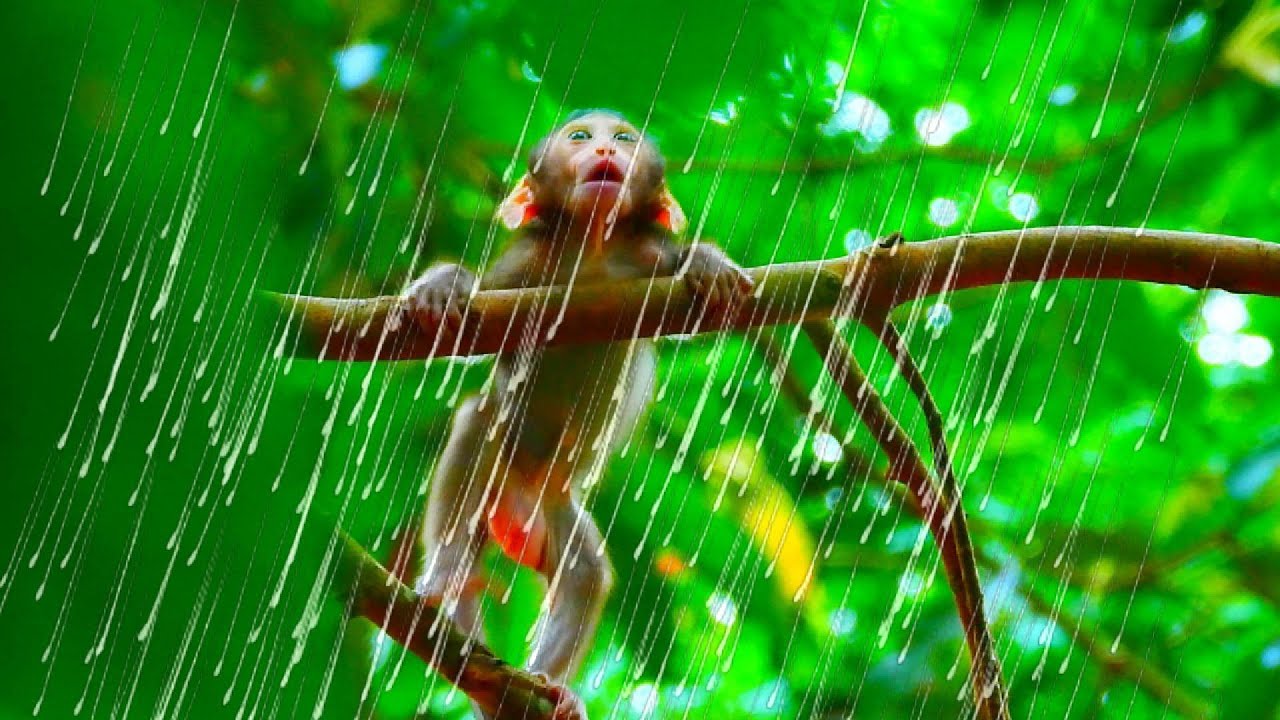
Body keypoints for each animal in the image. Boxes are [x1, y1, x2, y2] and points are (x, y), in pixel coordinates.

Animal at [404, 109, 753, 719]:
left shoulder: (650, 258)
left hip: (555, 508)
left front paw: (708, 262)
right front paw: (443, 284)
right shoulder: (526, 265)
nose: (607, 151)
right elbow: (480, 320)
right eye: (580, 137)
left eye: (625, 138)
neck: (591, 249)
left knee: (586, 572)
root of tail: (519, 501)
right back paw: (447, 584)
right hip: (494, 479)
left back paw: (549, 683)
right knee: (476, 423)